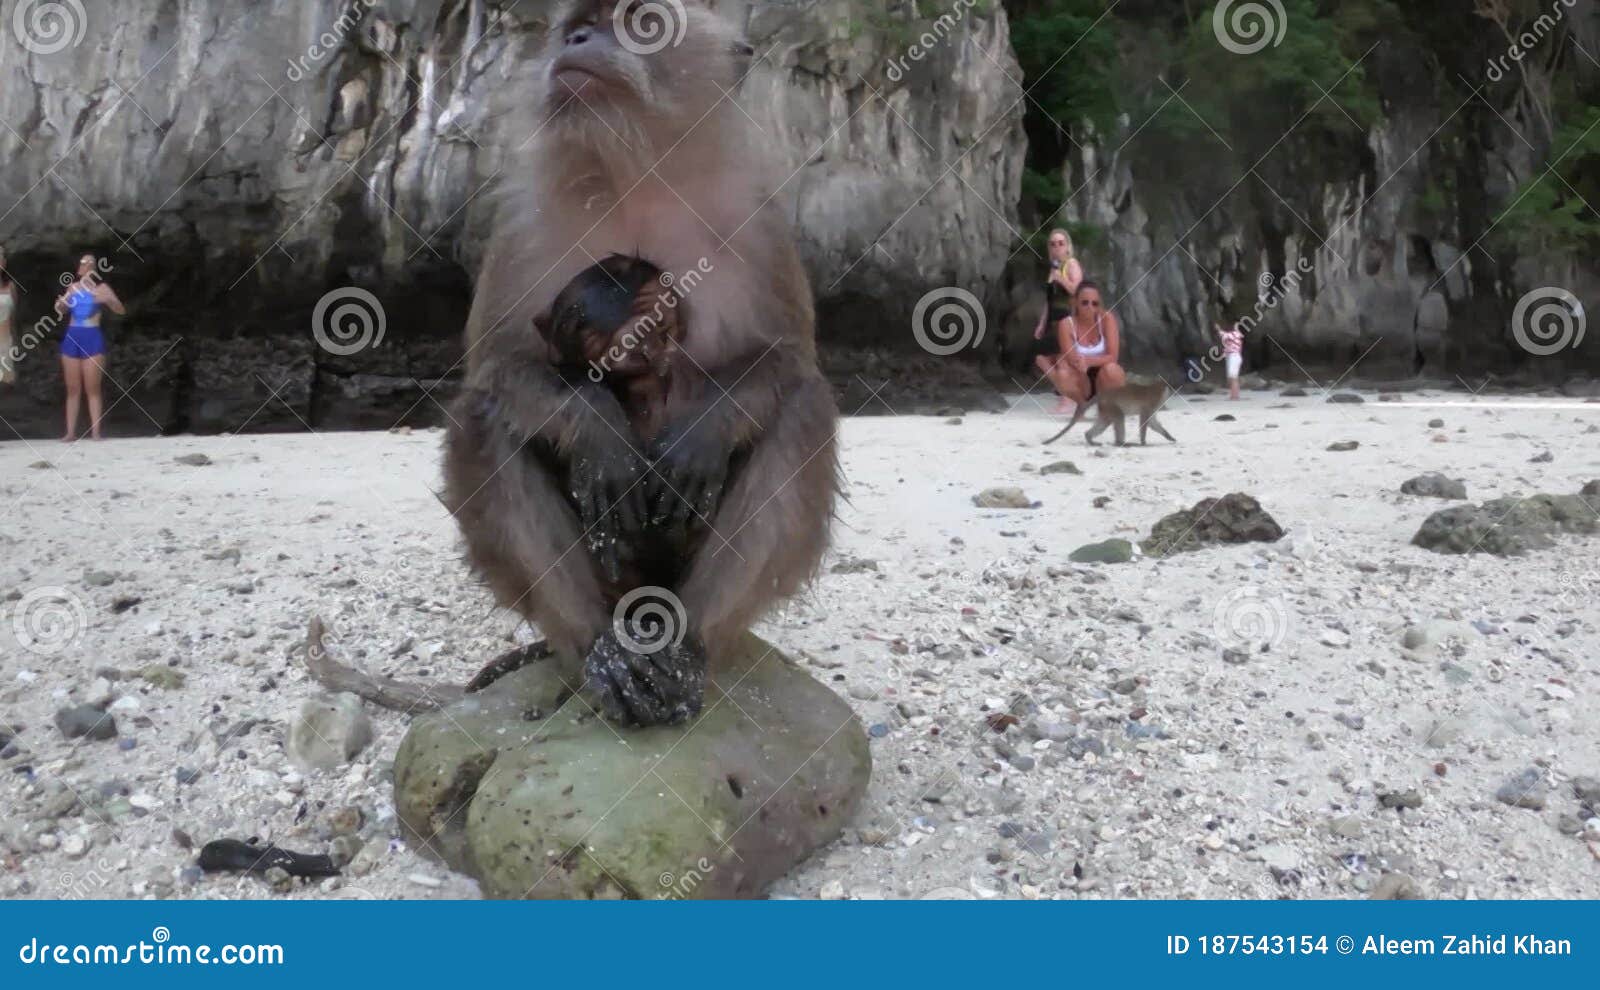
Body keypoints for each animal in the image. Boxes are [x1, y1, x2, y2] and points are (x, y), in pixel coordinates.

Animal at [442, 0, 838, 729]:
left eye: (635, 22)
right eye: (573, 23)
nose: (576, 39)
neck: (638, 174)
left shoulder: (760, 219)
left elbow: (791, 362)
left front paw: (703, 430)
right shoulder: (520, 217)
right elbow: (494, 368)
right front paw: (597, 427)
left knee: (802, 410)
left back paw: (687, 643)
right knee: (483, 417)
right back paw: (597, 649)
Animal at [1042, 381, 1177, 446]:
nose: (1172, 392)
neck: (1156, 391)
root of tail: (1102, 394)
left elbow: (1153, 423)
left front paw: (1169, 436)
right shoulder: (1150, 405)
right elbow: (1144, 420)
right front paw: (1143, 442)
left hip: (1104, 407)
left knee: (1105, 422)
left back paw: (1089, 438)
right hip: (1109, 404)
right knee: (1119, 417)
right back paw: (1120, 443)